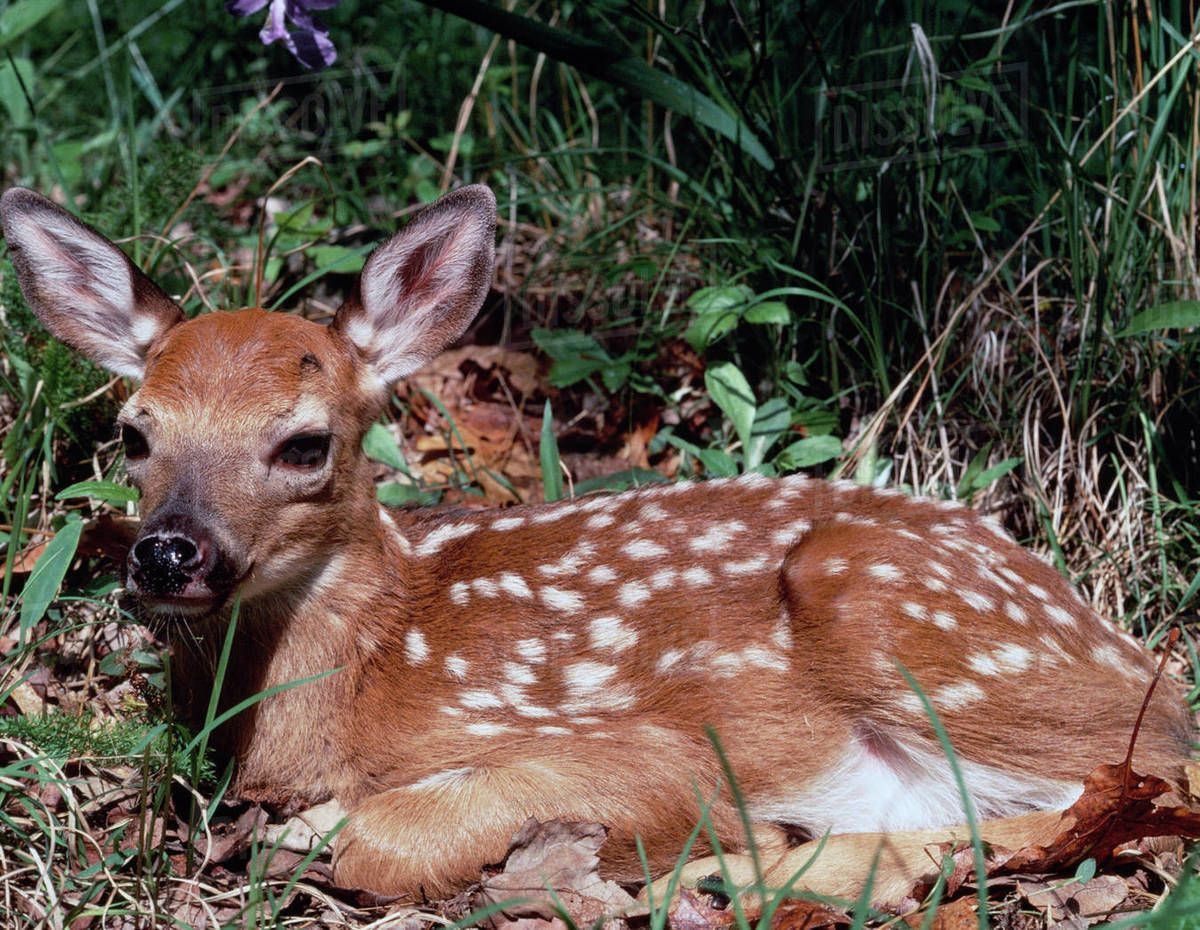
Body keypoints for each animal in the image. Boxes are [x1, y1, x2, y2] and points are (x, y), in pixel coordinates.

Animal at [1, 185, 1193, 906]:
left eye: (303, 445)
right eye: (135, 433)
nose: (169, 554)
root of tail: (1120, 644)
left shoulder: (632, 740)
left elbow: (383, 837)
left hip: (899, 613)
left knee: (1146, 788)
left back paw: (747, 876)